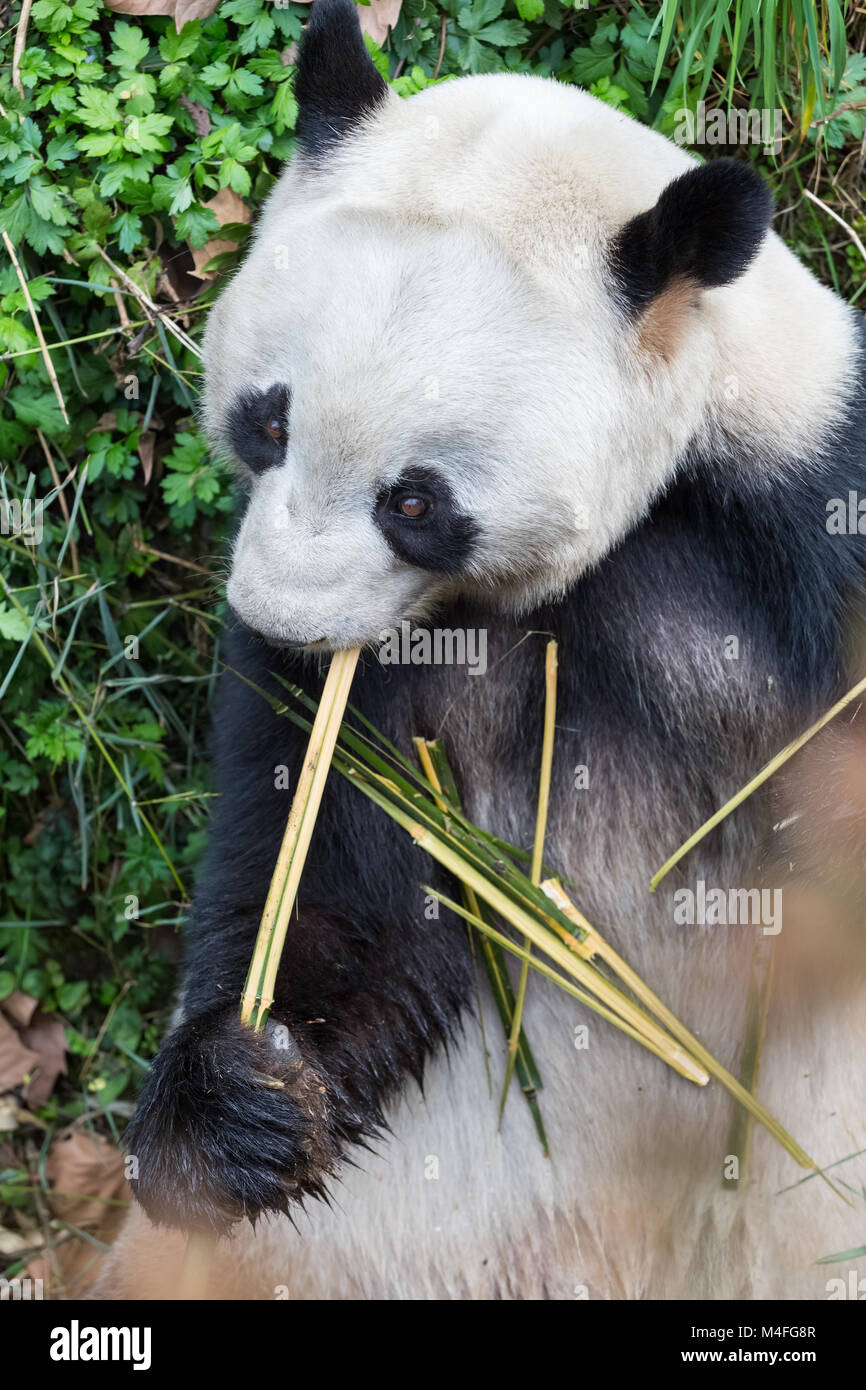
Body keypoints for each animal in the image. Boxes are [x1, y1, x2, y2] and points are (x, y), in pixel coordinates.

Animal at [98, 0, 866, 1300]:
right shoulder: (377, 692)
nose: (283, 621)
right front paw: (245, 1103)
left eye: (414, 500)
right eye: (268, 420)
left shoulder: (799, 542)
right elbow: (347, 894)